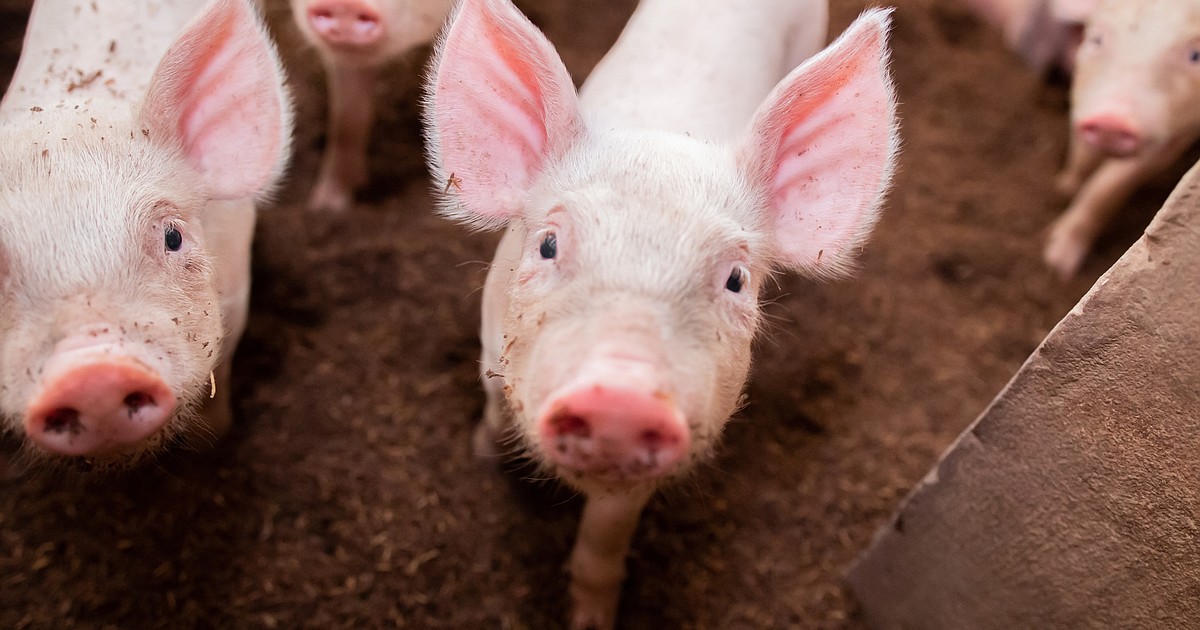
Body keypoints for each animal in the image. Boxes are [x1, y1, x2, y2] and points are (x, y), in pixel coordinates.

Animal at [424, 0, 898, 627]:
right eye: (548, 244)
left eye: (736, 280)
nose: (619, 396)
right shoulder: (487, 345)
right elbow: (494, 407)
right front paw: (481, 458)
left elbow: (601, 549)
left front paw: (590, 619)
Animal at [1045, 0, 1200, 279]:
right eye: (1096, 39)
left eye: (1195, 55)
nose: (1111, 121)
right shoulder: (1082, 103)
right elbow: (1081, 157)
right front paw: (1062, 187)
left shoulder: (1175, 135)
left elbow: (1108, 187)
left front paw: (1058, 265)